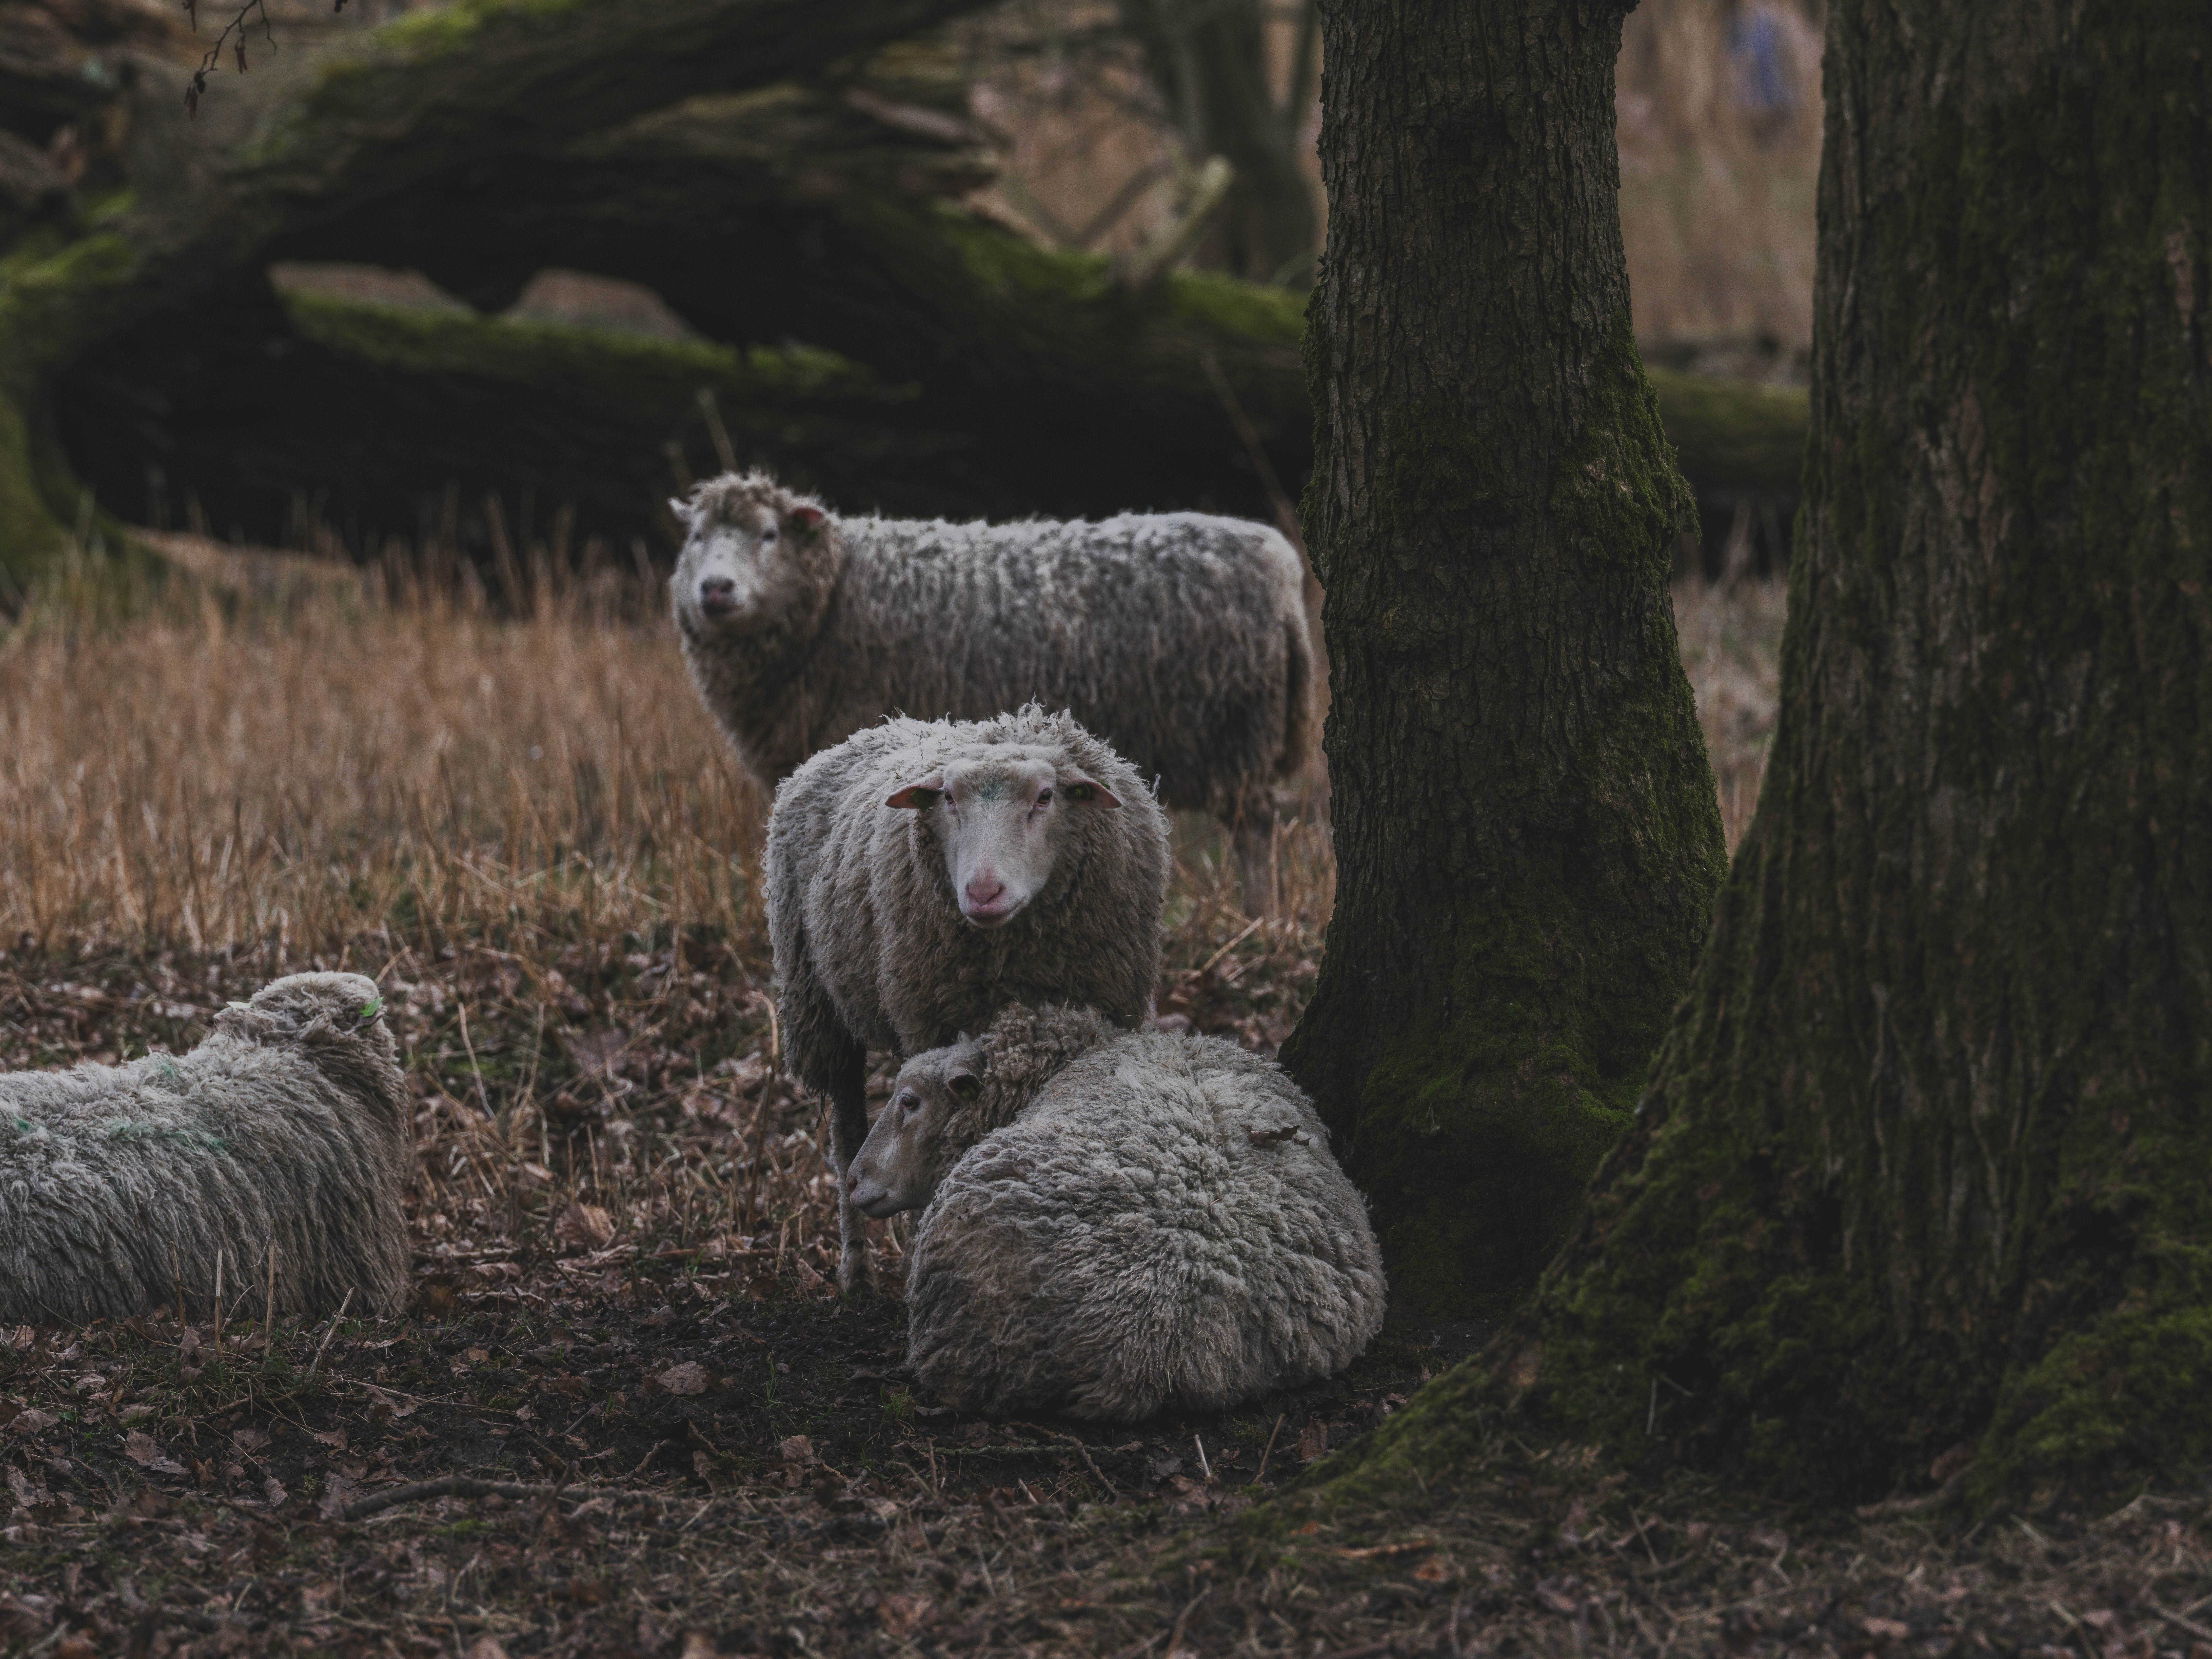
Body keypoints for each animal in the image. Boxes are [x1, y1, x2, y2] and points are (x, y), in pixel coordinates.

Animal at [670, 468, 1315, 914]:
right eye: (697, 536)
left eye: (769, 534)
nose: (716, 589)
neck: (835, 595)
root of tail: (1284, 568)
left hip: (1236, 730)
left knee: (1255, 831)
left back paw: (1260, 915)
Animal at [765, 706, 1170, 1293]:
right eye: (949, 799)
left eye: (1046, 797)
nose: (982, 892)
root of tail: (869, 730)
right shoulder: (930, 1027)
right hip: (819, 1007)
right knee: (846, 1131)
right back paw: (856, 1270)